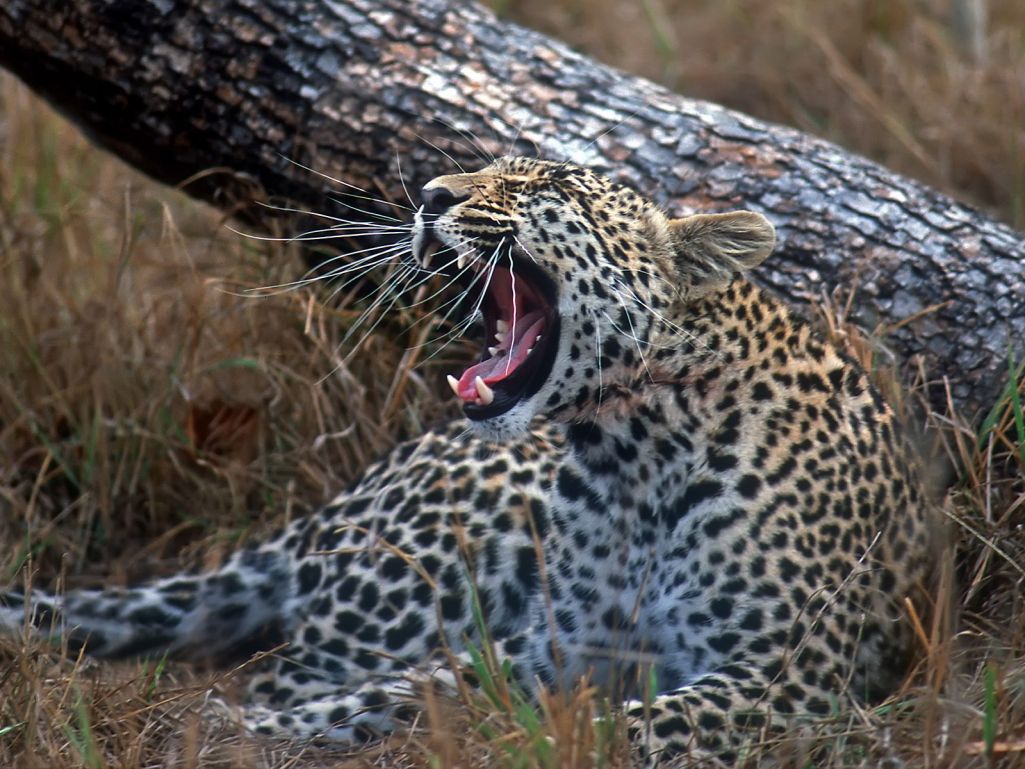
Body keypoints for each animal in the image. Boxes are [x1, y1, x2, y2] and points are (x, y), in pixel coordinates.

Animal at [0, 154, 934, 766]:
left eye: (546, 187)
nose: (427, 196)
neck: (633, 454)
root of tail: (341, 499)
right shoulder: (555, 645)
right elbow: (411, 689)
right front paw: (236, 730)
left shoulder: (788, 677)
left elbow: (619, 726)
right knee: (298, 666)